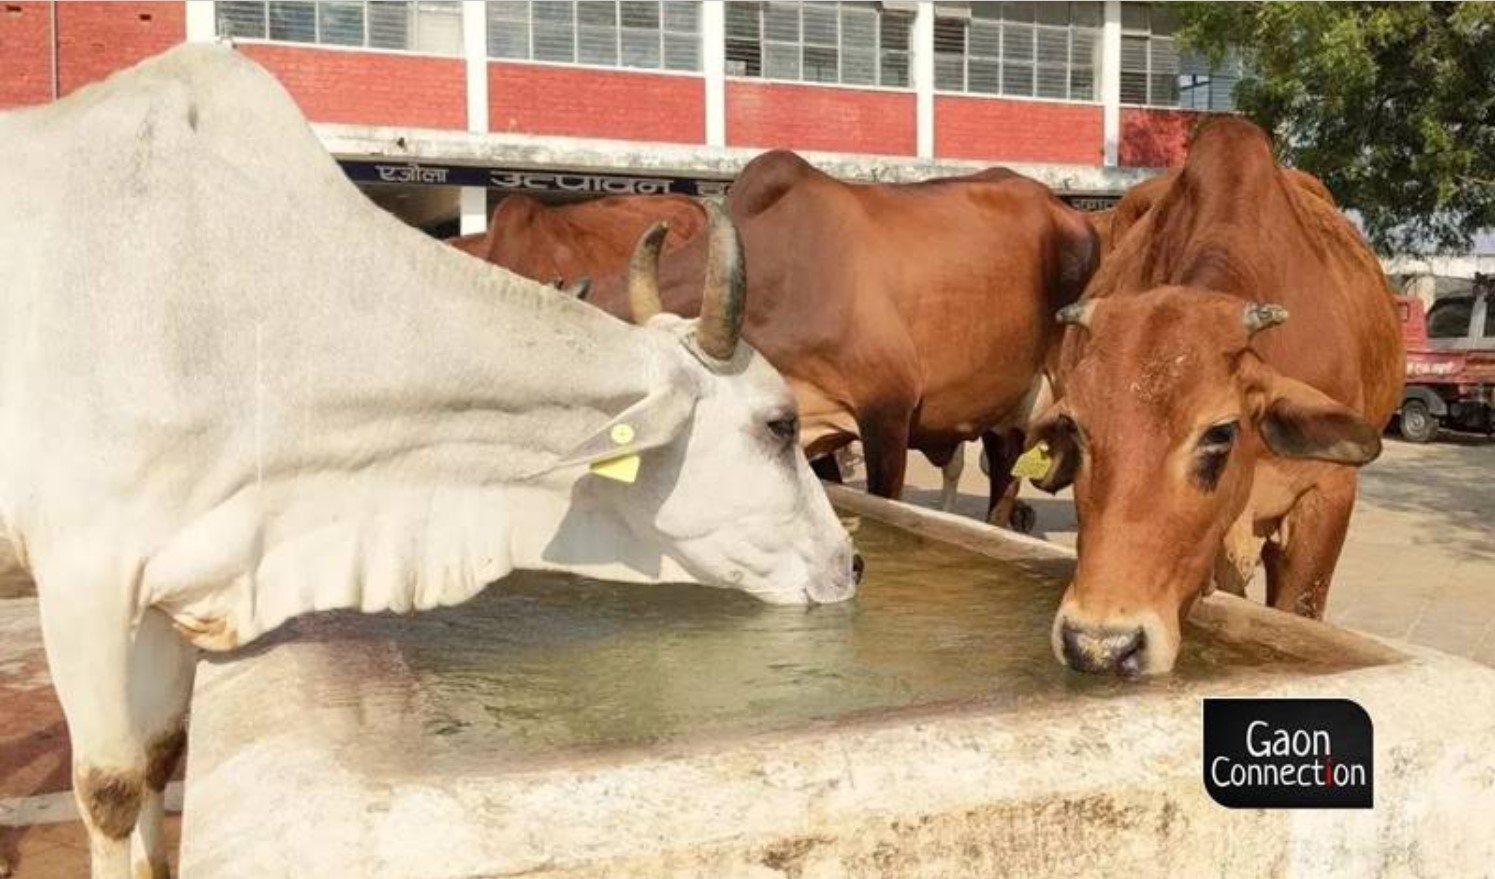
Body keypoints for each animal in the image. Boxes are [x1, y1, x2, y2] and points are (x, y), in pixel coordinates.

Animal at [0, 46, 857, 878]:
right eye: (778, 424)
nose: (851, 564)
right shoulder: (86, 581)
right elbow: (111, 785)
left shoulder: (176, 581)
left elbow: (159, 755)